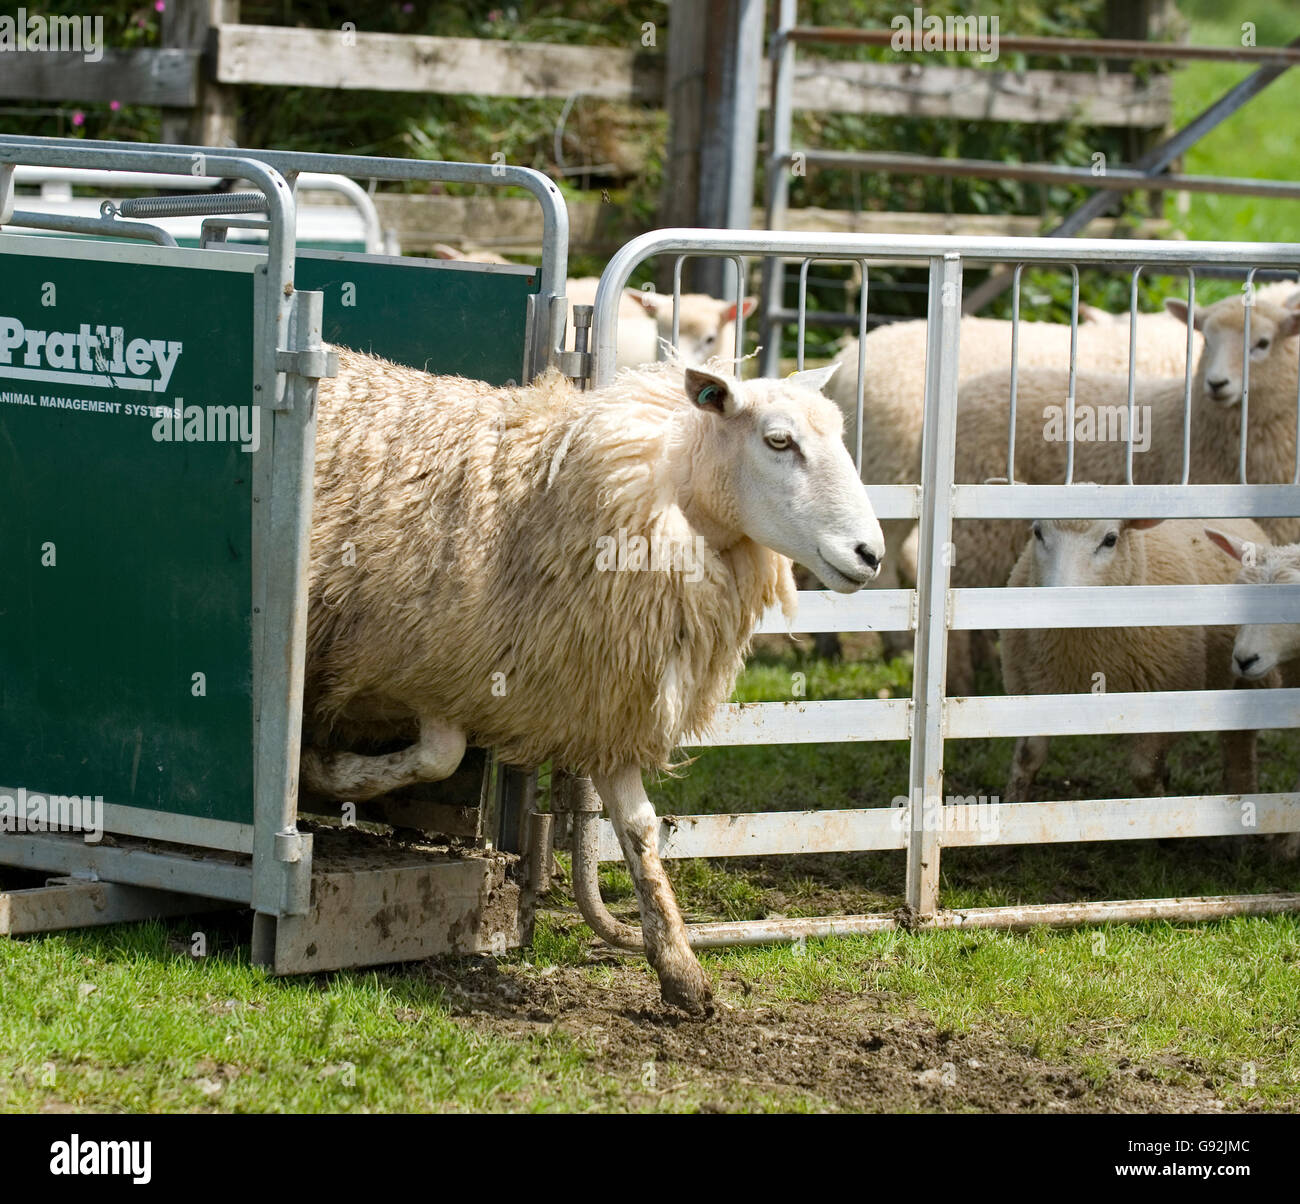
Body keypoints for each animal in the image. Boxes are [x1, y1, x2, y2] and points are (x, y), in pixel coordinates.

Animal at [301, 353, 883, 1013]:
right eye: (778, 441)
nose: (870, 554)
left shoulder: (603, 693)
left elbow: (639, 827)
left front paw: (679, 968)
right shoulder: (422, 659)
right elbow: (439, 755)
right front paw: (321, 768)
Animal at [943, 293, 1300, 693]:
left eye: (1263, 343)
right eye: (1205, 339)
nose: (1217, 383)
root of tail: (971, 387)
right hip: (979, 532)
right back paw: (961, 683)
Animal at [1001, 514, 1271, 803]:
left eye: (1110, 540)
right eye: (1037, 532)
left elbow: (1145, 772)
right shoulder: (1029, 690)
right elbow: (1027, 760)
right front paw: (1012, 804)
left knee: (1239, 744)